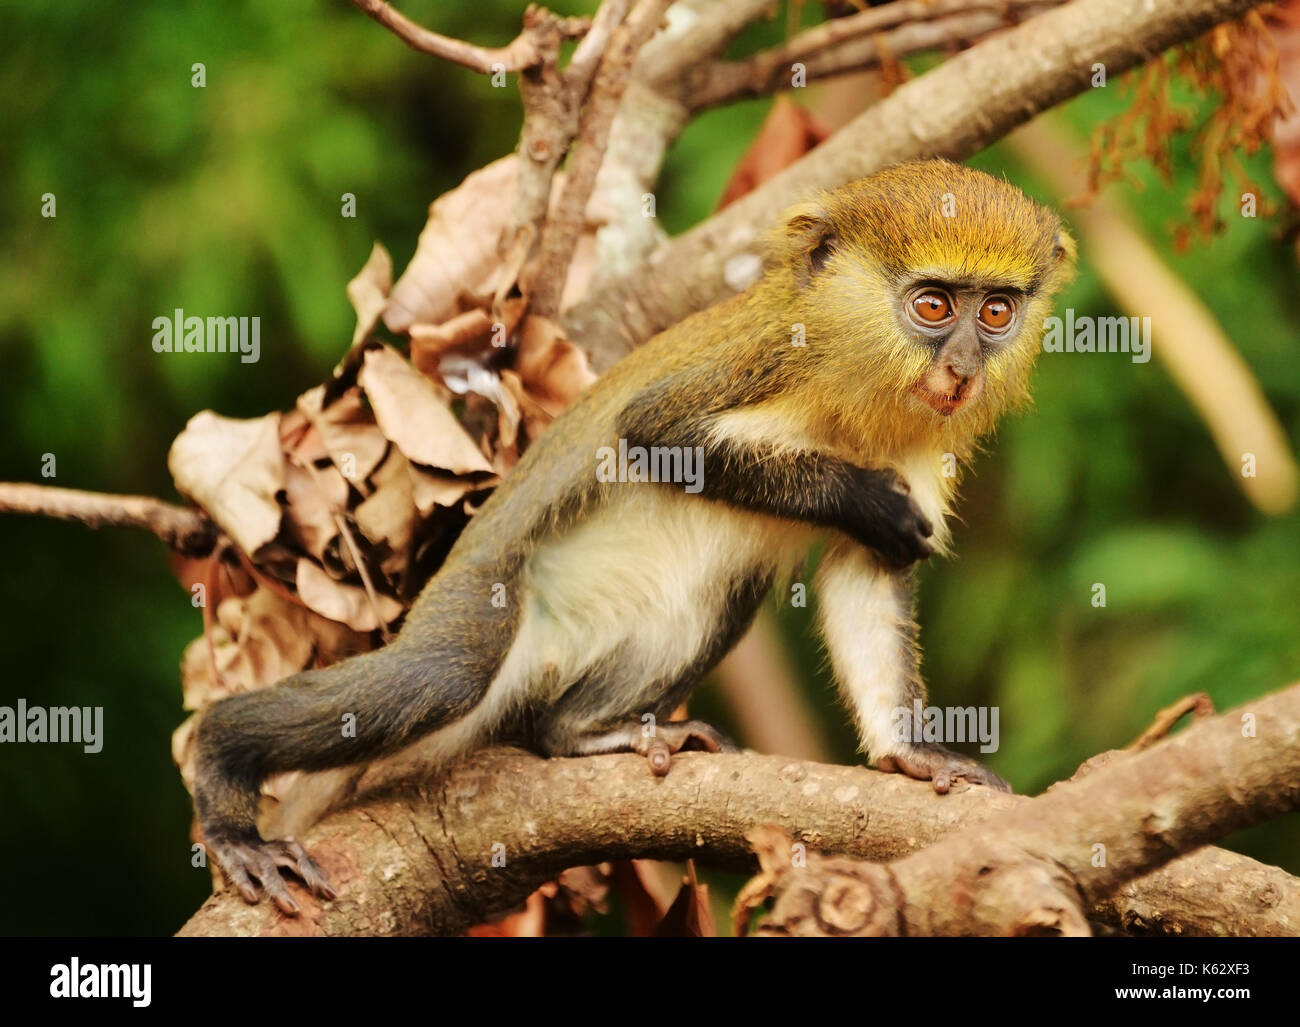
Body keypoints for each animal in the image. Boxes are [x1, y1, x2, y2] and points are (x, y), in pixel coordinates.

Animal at [191, 159, 1076, 913]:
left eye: (996, 311)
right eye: (933, 305)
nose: (962, 368)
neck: (857, 388)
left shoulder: (924, 440)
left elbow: (869, 568)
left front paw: (911, 753)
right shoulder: (761, 363)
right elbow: (652, 431)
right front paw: (857, 496)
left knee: (691, 616)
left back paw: (581, 731)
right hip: (482, 603)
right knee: (440, 675)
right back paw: (226, 779)